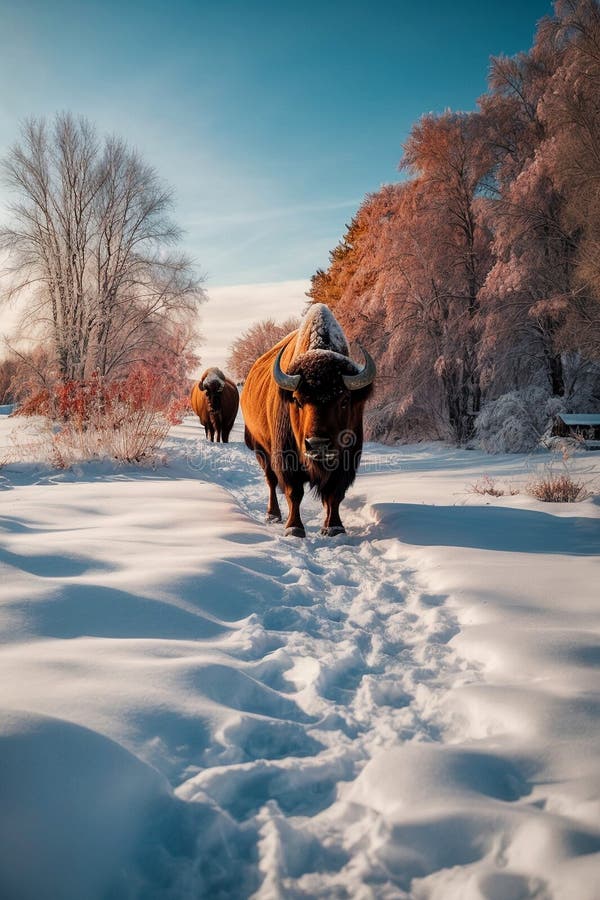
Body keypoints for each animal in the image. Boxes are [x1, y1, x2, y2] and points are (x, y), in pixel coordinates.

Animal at [241, 303, 375, 536]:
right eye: (297, 400)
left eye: (344, 399)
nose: (317, 444)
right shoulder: (287, 458)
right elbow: (294, 492)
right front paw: (294, 528)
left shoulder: (347, 460)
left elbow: (334, 495)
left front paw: (334, 527)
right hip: (260, 448)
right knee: (271, 481)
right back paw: (273, 515)